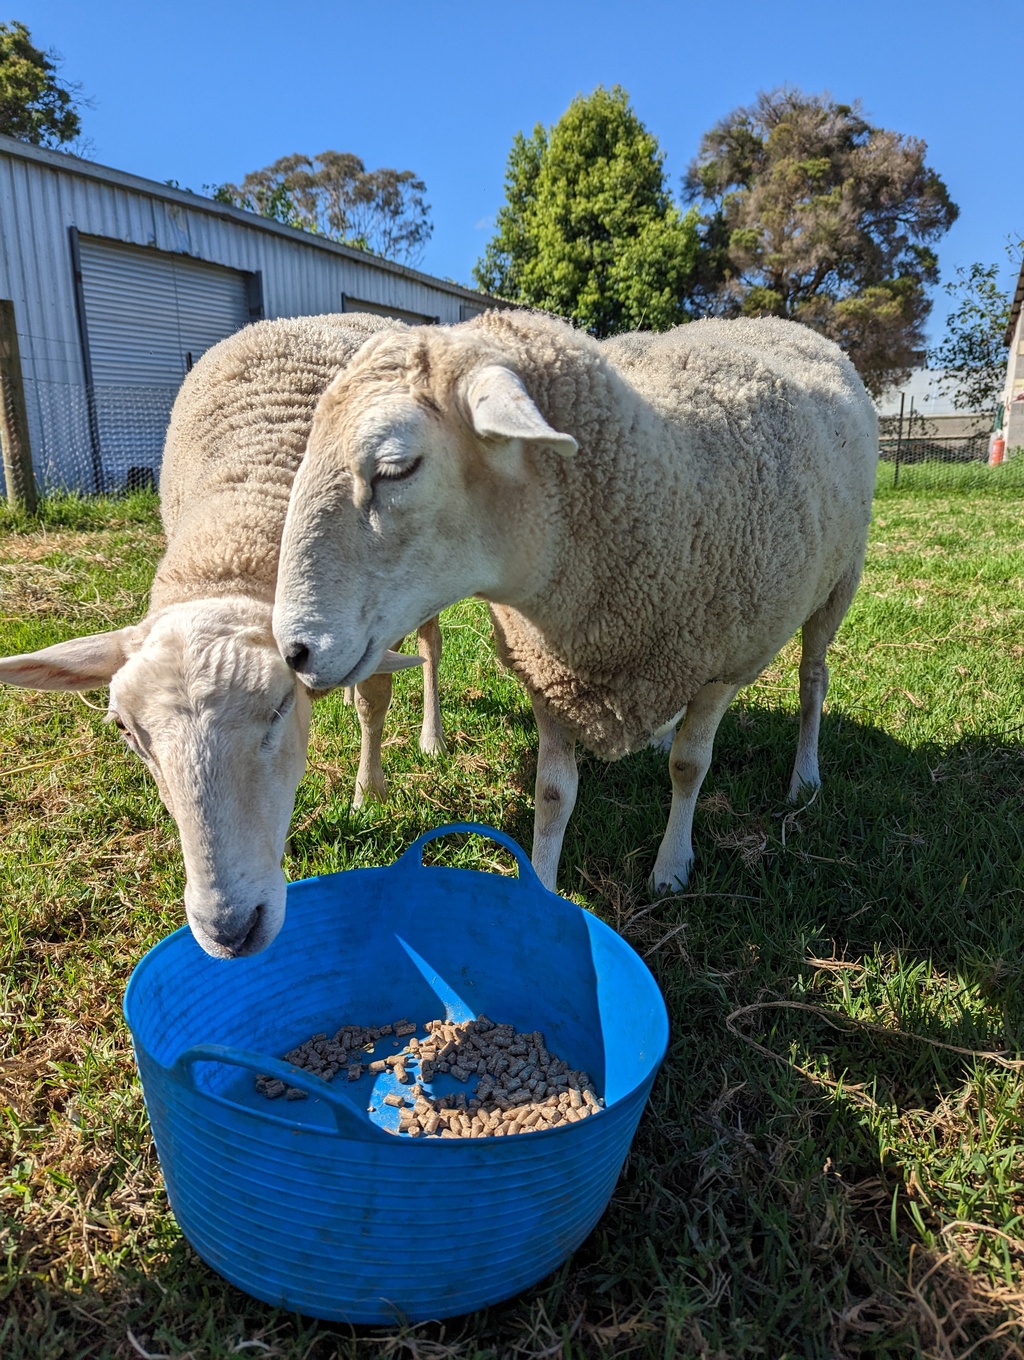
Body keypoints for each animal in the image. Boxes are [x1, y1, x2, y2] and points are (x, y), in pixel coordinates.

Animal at [0, 312, 444, 959]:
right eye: (125, 731)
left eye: (280, 706)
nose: (230, 931)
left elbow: (375, 697)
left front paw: (369, 794)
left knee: (430, 646)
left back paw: (432, 736)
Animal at [272, 309, 879, 893]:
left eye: (396, 467)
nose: (294, 652)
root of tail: (786, 326)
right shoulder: (549, 670)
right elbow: (553, 793)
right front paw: (541, 882)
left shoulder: (723, 664)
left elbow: (690, 765)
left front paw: (672, 867)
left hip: (840, 579)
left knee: (813, 678)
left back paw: (805, 777)